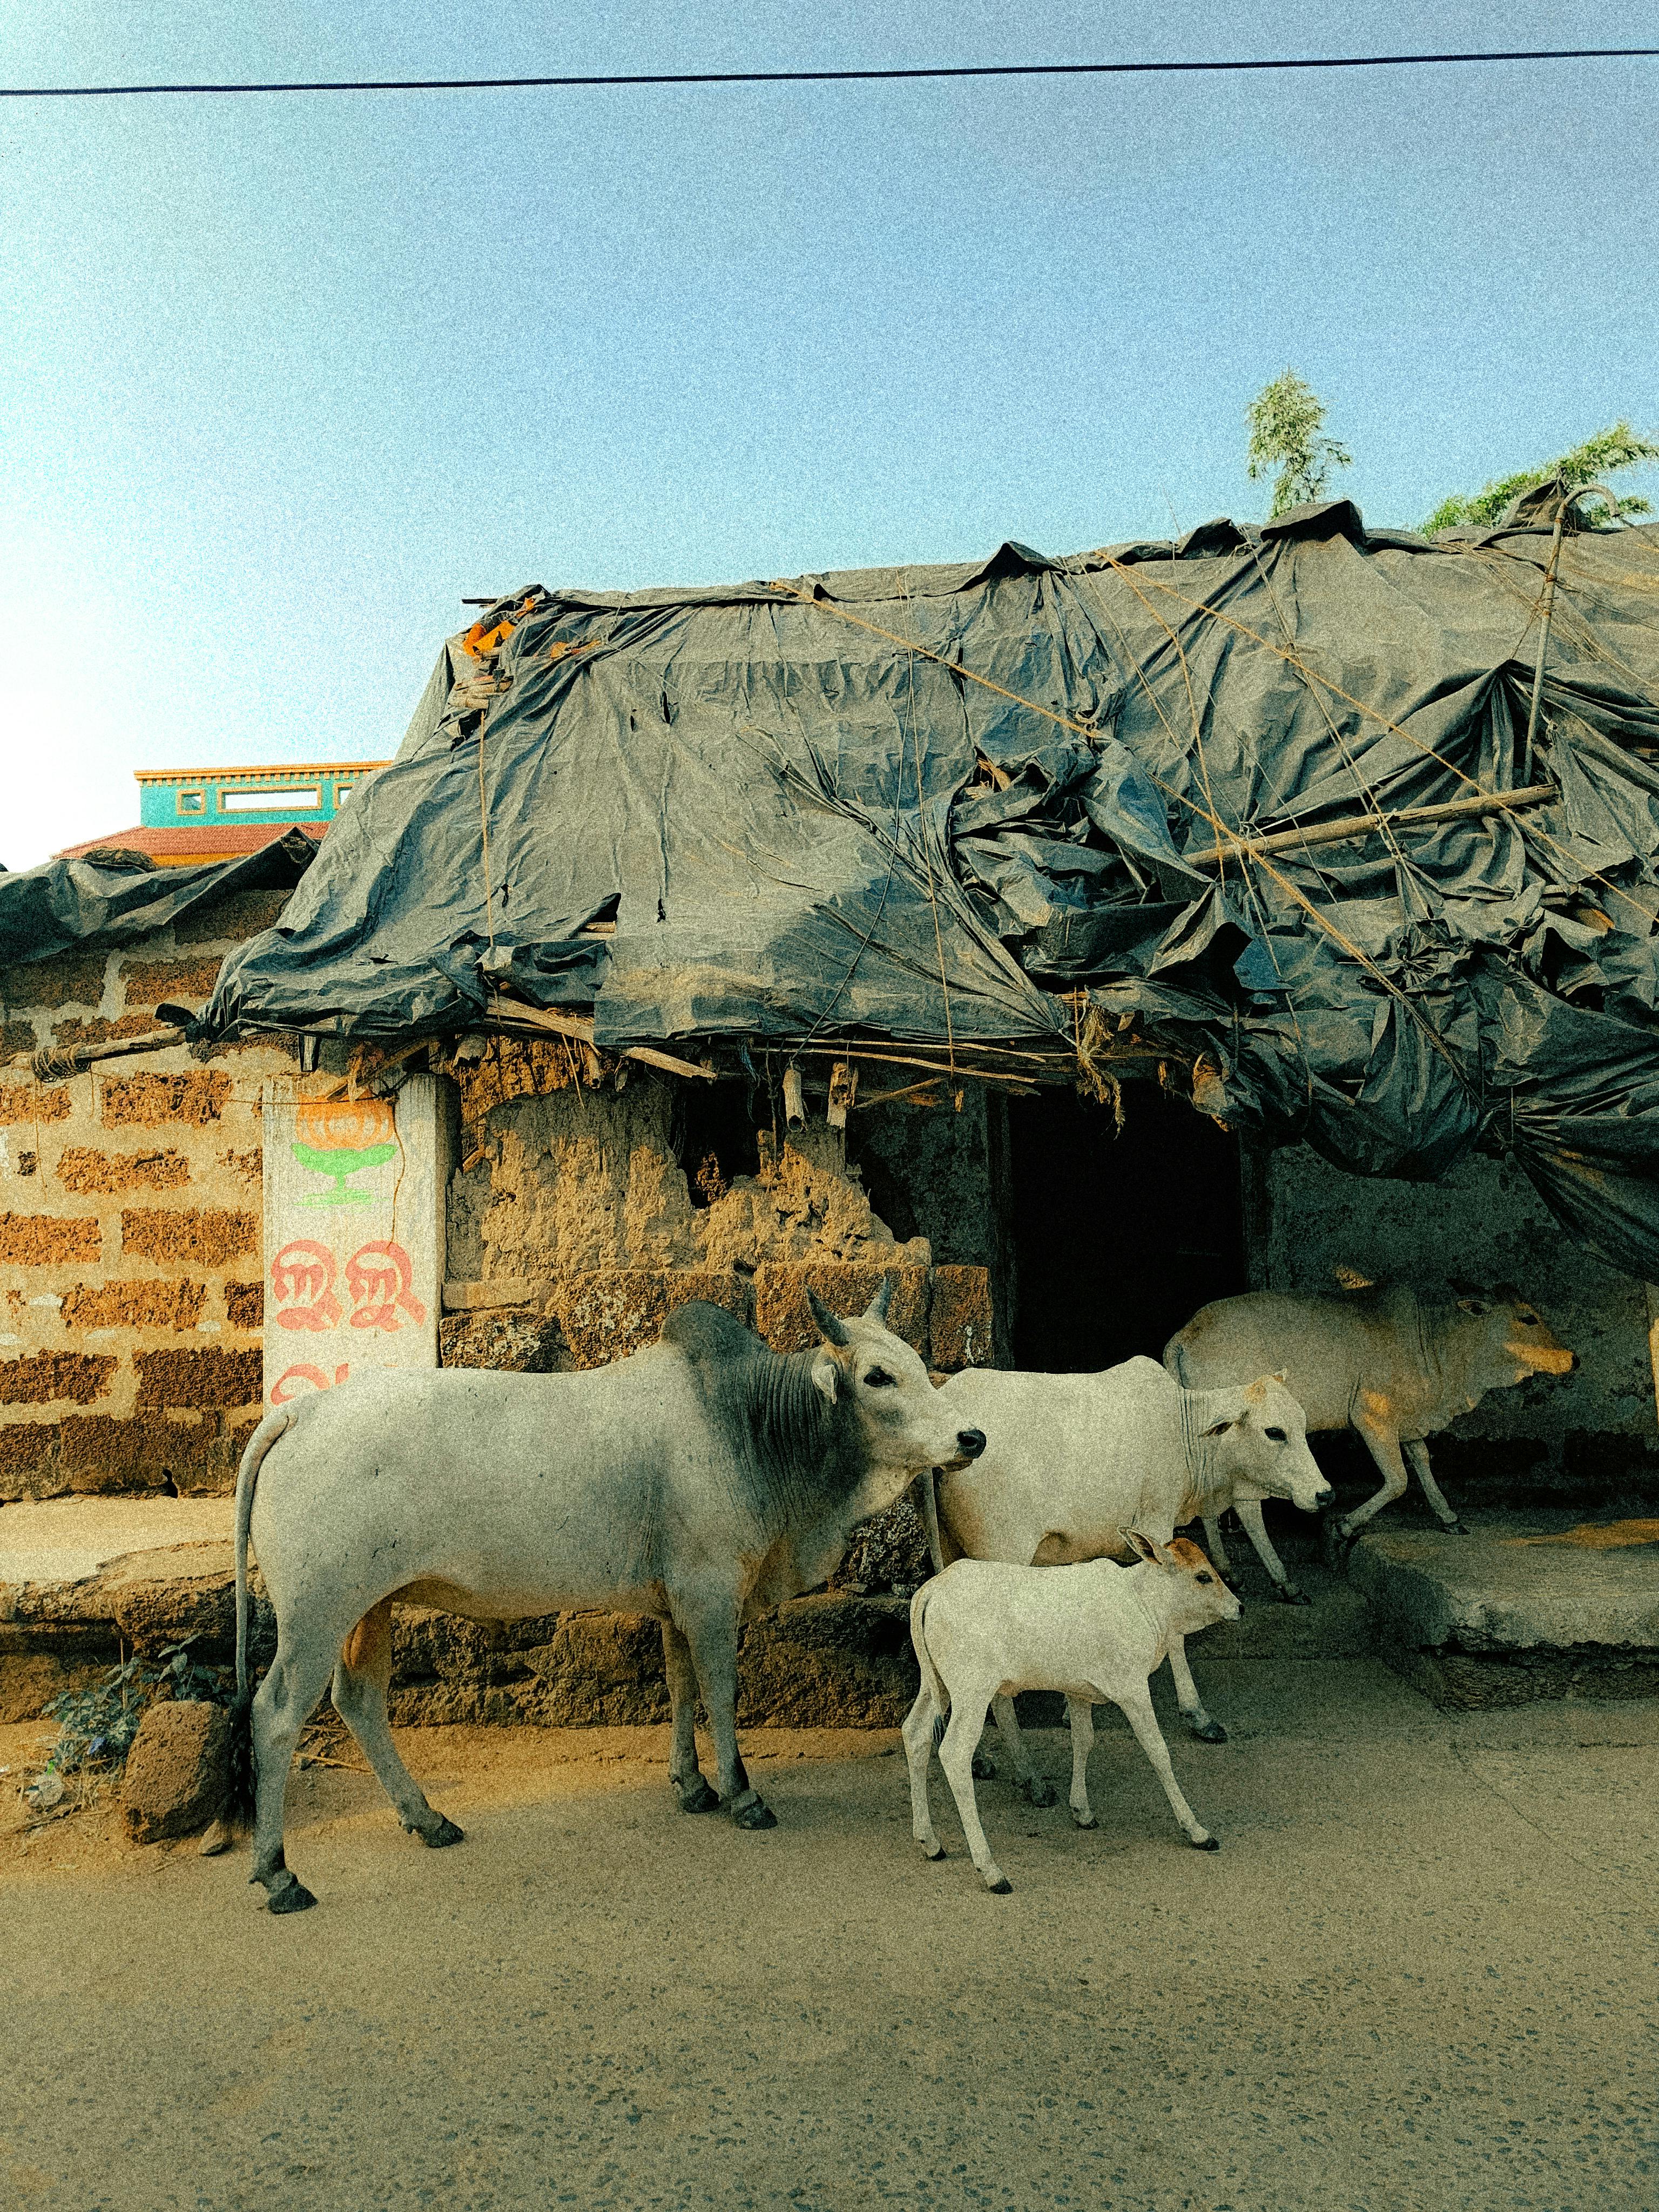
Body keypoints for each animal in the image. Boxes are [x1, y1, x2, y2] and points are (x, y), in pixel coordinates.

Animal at [228, 1285, 986, 1913]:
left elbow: (682, 1687)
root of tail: (300, 1410)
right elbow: (720, 1689)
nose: (970, 1436)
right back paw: (280, 1874)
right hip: (317, 1613)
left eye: (918, 1361)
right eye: (878, 1375)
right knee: (276, 1714)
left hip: (368, 1606)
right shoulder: (712, 1592)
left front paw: (692, 1786)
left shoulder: (677, 1601)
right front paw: (741, 1793)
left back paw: (427, 1819)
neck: (748, 1422)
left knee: (357, 1700)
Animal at [903, 1535, 1242, 1891]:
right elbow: (1158, 1751)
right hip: (972, 1693)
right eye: (1203, 1577)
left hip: (936, 1687)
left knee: (915, 1734)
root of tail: (933, 1589)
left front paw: (1082, 1810)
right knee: (955, 1754)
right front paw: (1197, 1830)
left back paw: (930, 1842)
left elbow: (1083, 1741)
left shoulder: (1078, 1692)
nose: (1239, 1607)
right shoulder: (1133, 1689)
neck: (1141, 1602)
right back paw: (991, 1870)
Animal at [927, 1356, 1329, 1791]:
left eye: (1302, 1424)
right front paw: (1197, 1714)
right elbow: (1175, 1635)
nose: (1326, 1494)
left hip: (950, 1552)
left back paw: (982, 1759)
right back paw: (1028, 1774)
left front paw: (1071, 1710)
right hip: (1002, 1556)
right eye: (1275, 1432)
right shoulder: (1156, 1527)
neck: (1185, 1432)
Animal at [1164, 1281, 1576, 1564]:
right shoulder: (1372, 1416)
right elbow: (1398, 1480)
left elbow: (1422, 1461)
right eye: (1528, 1318)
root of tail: (1183, 1337)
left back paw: (1225, 1566)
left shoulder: (1408, 1421)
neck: (1436, 1346)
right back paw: (1282, 1581)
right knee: (1246, 1503)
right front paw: (1344, 1526)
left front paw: (1449, 1517)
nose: (1573, 1358)